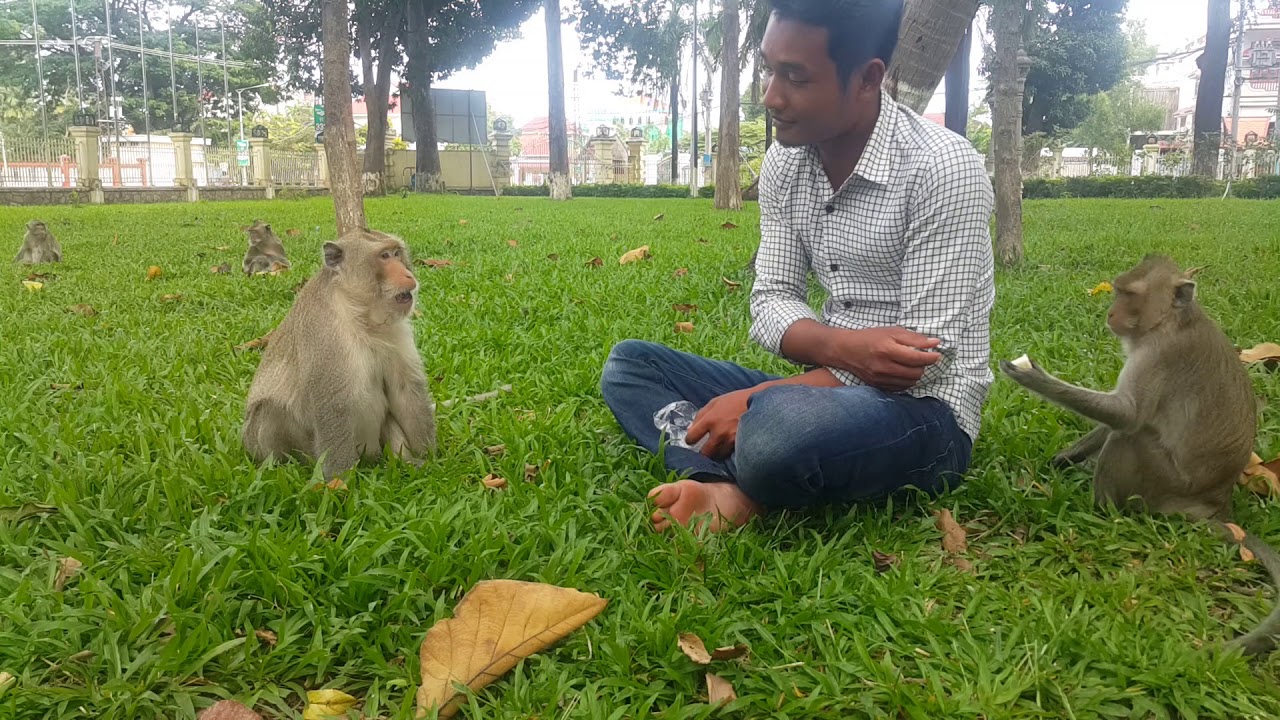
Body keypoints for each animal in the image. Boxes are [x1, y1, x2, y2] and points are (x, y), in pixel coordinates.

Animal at [240, 227, 437, 480]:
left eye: (397, 253)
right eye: (384, 256)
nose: (408, 275)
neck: (359, 313)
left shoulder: (395, 328)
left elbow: (405, 390)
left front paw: (429, 457)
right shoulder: (325, 332)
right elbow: (333, 405)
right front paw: (340, 482)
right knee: (269, 411)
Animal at [999, 254, 1280, 656]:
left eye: (1129, 295)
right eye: (1117, 290)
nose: (1111, 313)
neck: (1170, 321)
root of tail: (1216, 504)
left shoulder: (1160, 355)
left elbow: (1127, 416)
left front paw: (1033, 378)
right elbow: (1122, 416)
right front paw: (1065, 458)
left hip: (1162, 482)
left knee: (1130, 439)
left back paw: (1100, 512)